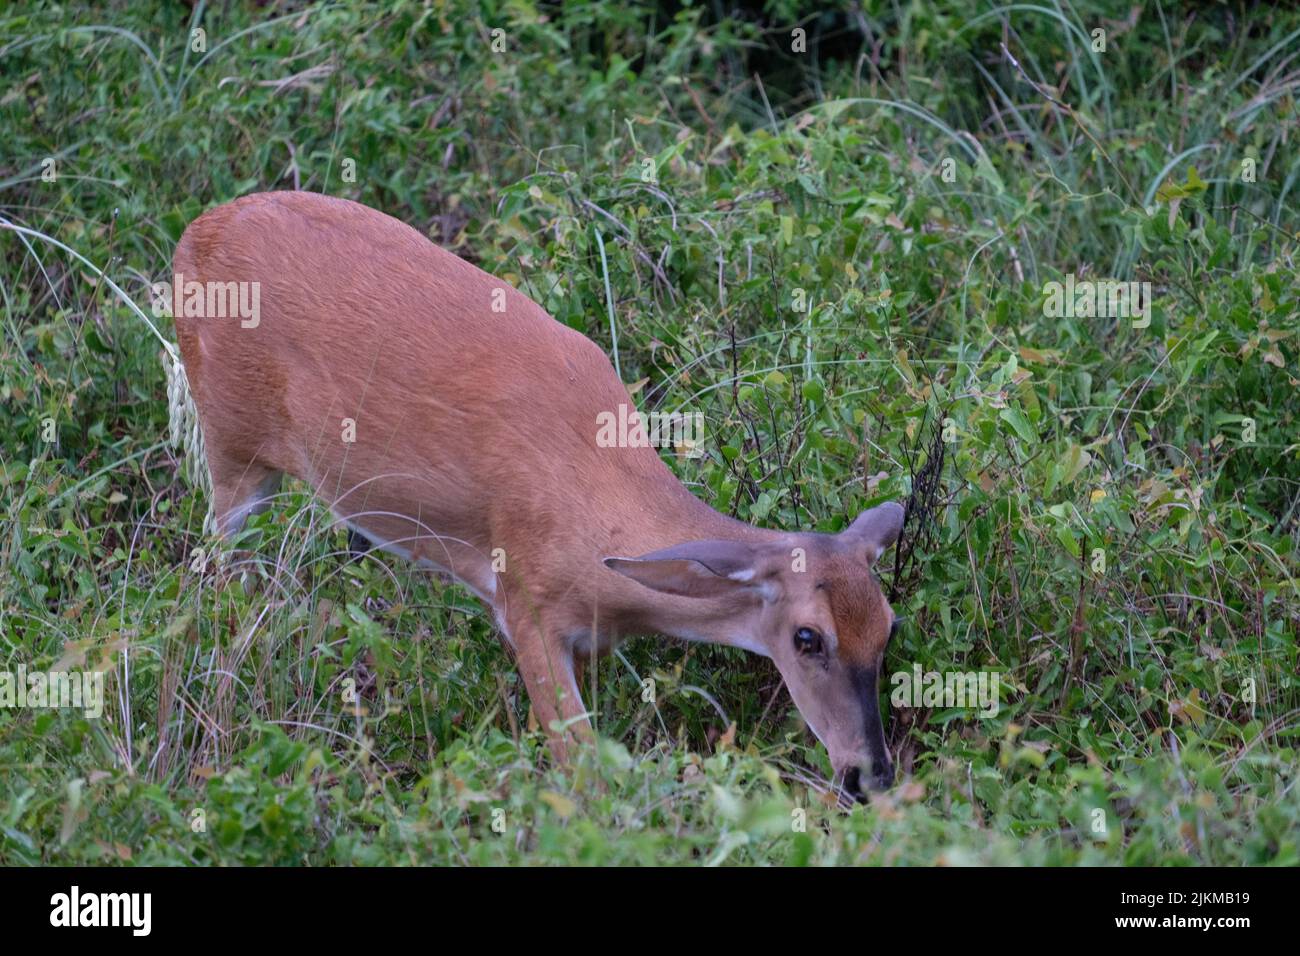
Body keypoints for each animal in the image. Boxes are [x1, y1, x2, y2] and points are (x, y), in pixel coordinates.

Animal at [168, 191, 906, 800]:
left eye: (888, 625)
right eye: (807, 638)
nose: (868, 774)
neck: (598, 522)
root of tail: (194, 234)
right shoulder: (525, 603)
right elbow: (582, 769)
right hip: (231, 445)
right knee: (217, 568)